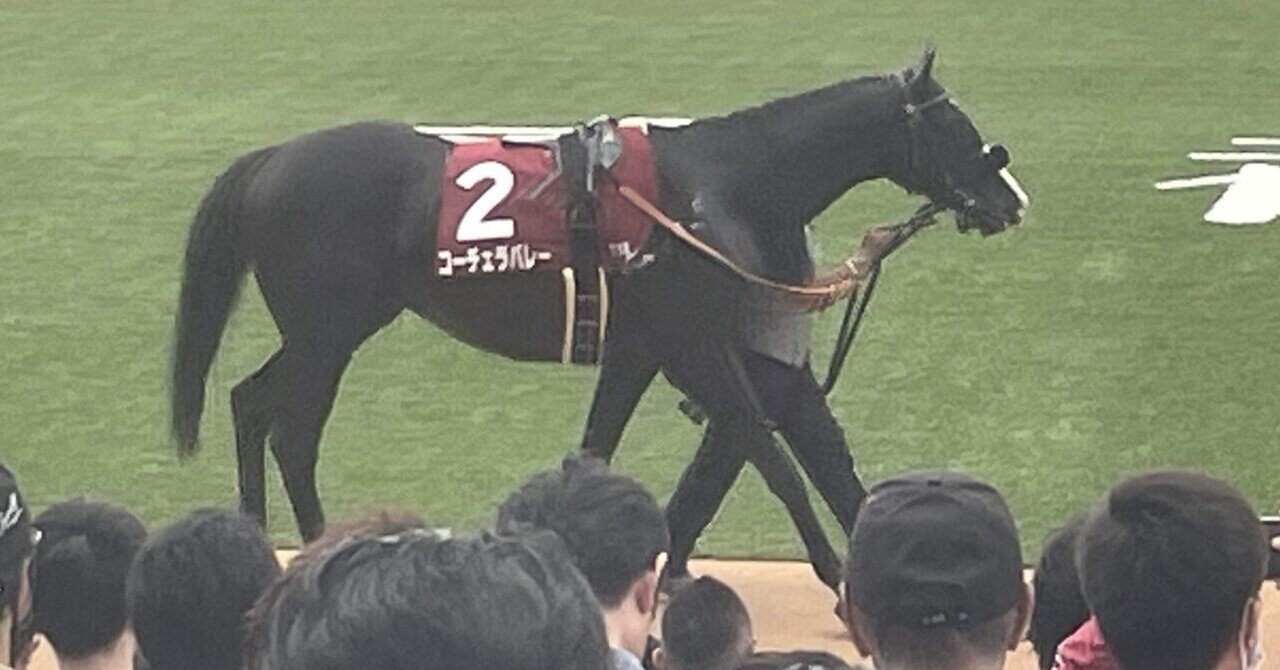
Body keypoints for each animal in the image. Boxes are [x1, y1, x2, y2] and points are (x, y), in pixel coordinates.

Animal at [170, 49, 1027, 588]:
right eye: (952, 124)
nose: (1009, 197)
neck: (720, 185)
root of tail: (271, 159)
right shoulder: (690, 345)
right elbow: (767, 449)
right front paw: (838, 570)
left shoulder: (646, 349)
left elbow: (607, 449)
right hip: (330, 333)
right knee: (291, 430)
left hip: (324, 333)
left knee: (251, 403)